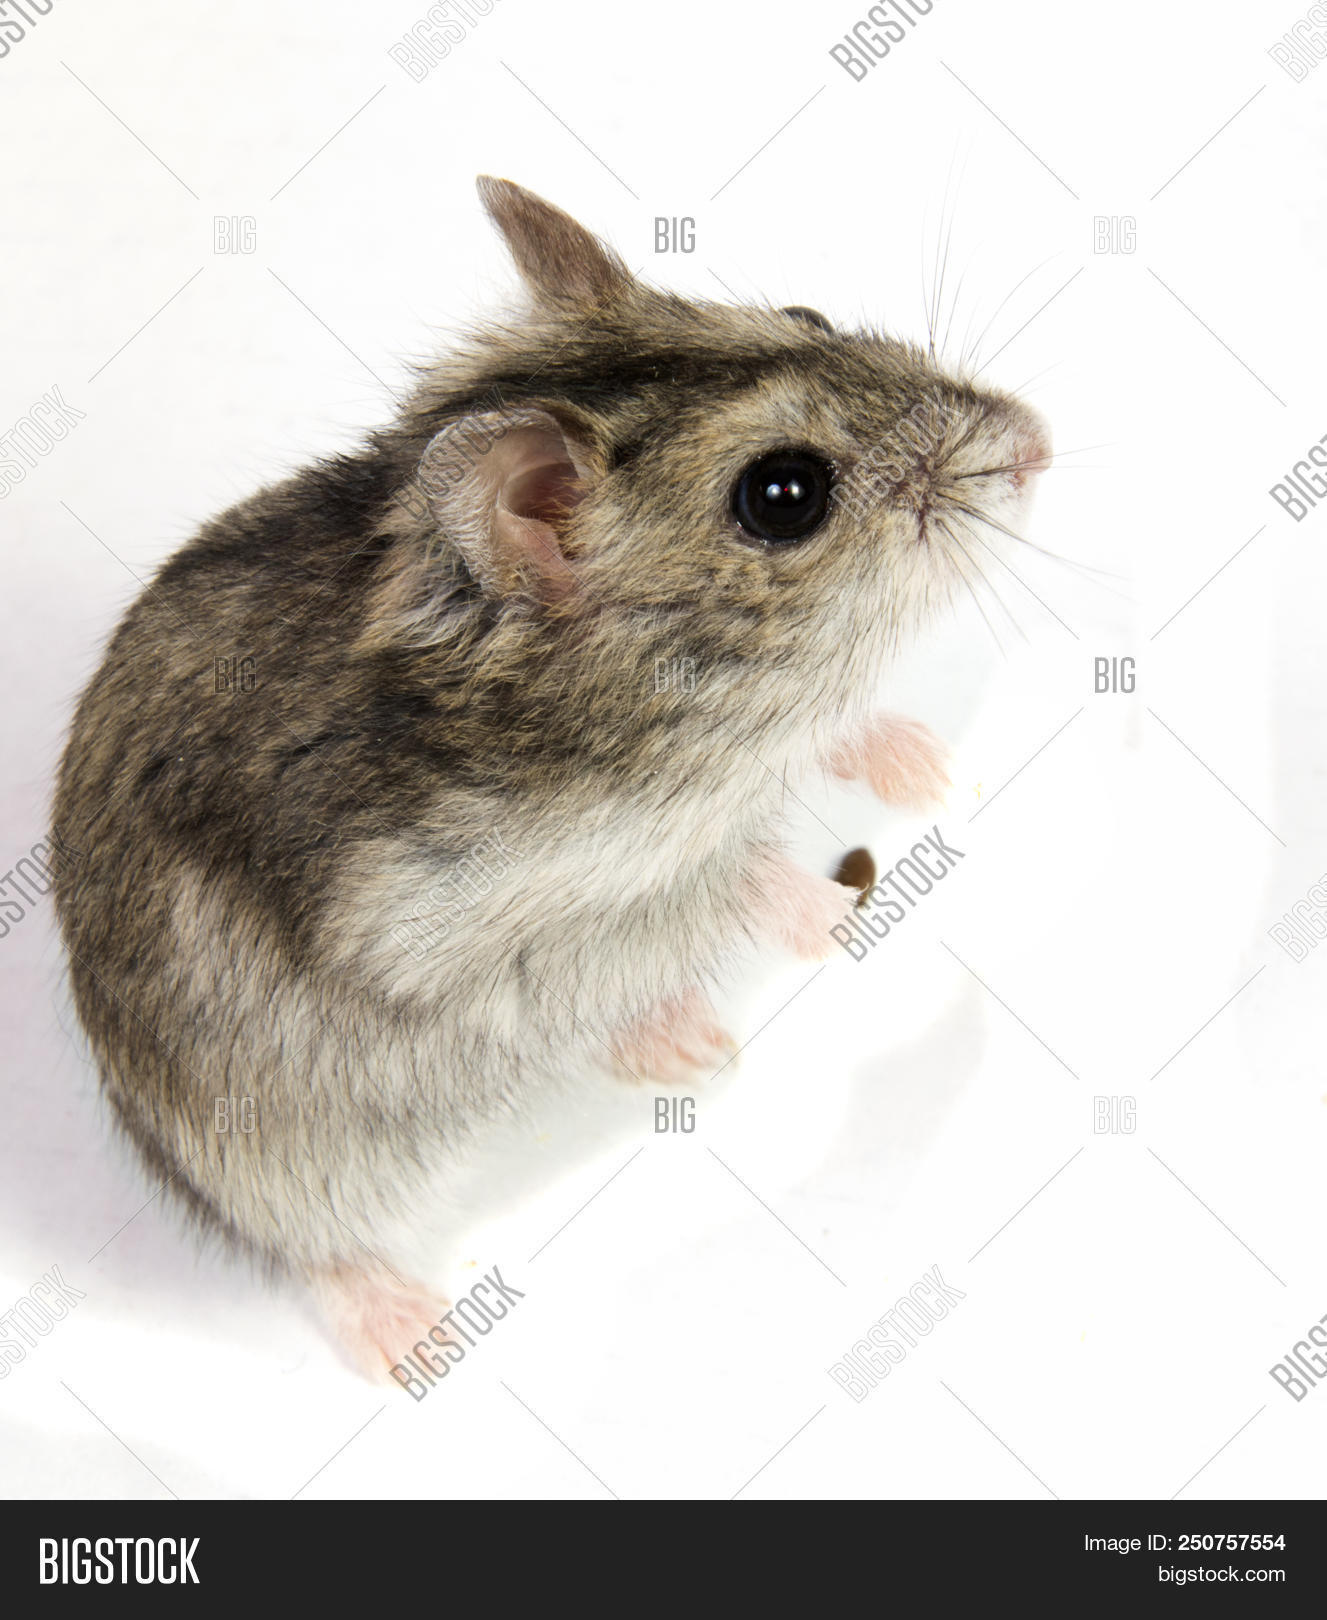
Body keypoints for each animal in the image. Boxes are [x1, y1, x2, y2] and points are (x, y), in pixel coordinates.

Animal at [51, 177, 1050, 1379]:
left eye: (805, 314)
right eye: (785, 494)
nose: (1039, 442)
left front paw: (922, 764)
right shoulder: (440, 925)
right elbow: (719, 878)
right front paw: (842, 915)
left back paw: (693, 1041)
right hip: (278, 1153)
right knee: (311, 1244)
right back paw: (413, 1339)